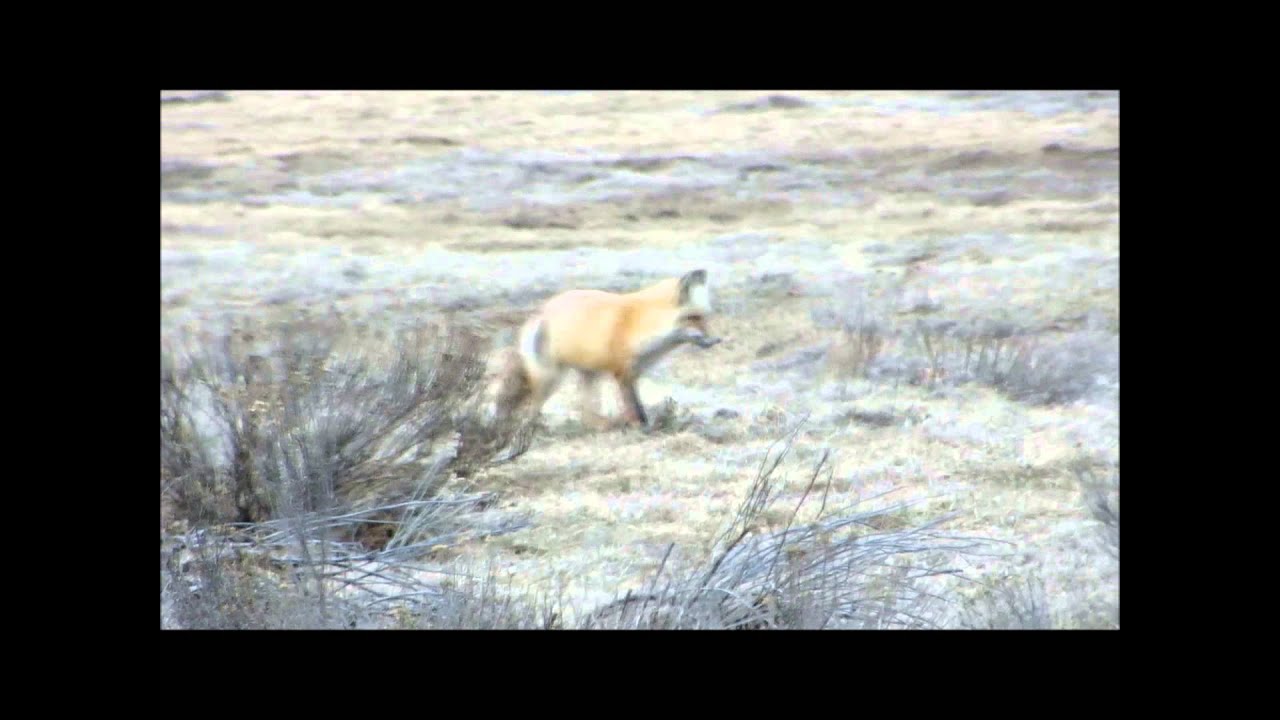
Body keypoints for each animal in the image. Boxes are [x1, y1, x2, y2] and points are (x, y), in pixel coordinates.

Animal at [494, 269, 722, 429]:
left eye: (706, 316)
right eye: (693, 317)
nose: (716, 340)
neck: (643, 325)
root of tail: (541, 310)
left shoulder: (634, 372)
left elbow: (639, 406)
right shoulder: (622, 372)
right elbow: (634, 408)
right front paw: (641, 428)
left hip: (588, 374)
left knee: (585, 413)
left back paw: (600, 425)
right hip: (550, 377)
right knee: (532, 408)